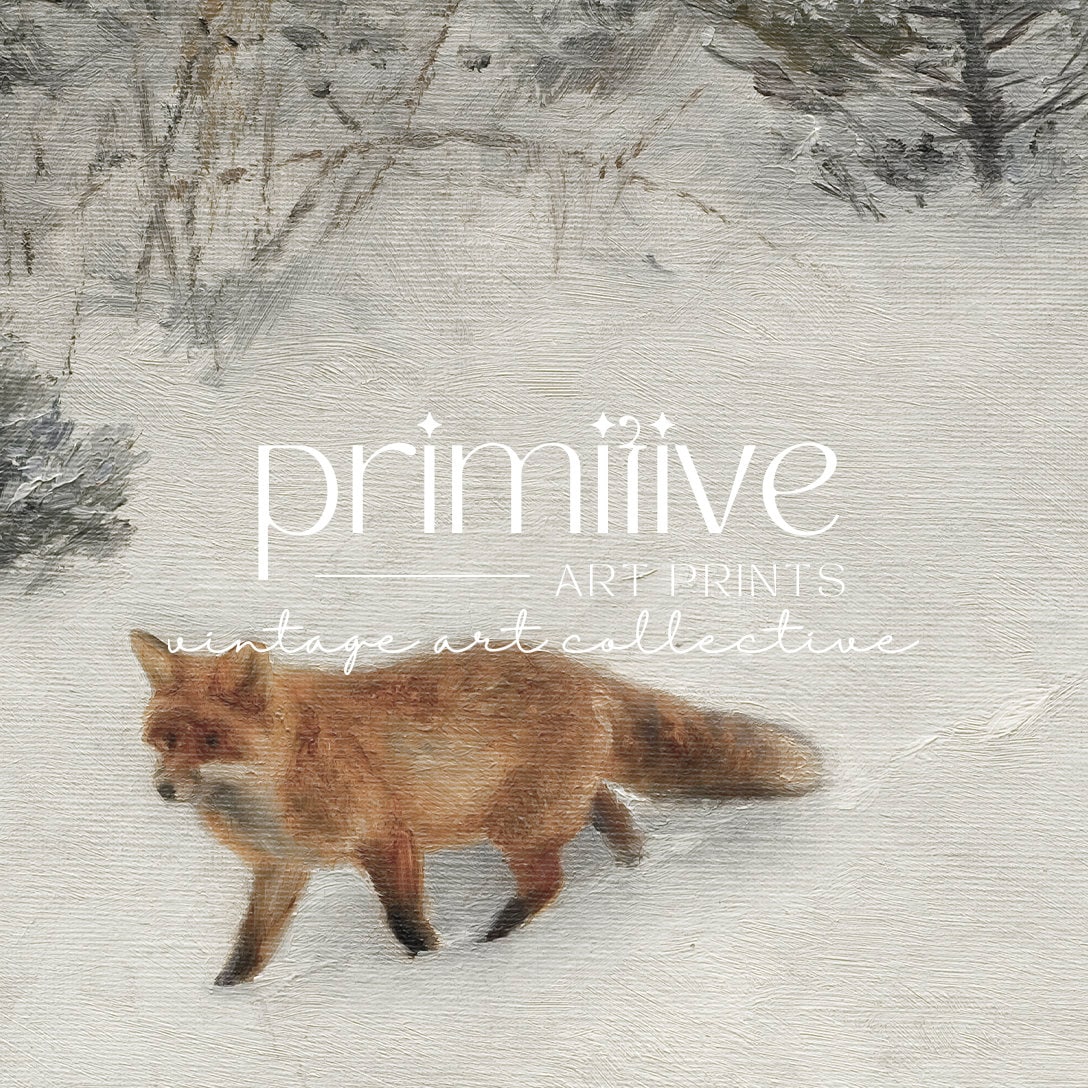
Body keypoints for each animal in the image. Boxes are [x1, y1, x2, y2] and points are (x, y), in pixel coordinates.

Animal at [131, 630, 824, 986]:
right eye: (164, 739)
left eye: (210, 741)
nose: (164, 789)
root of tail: (581, 671)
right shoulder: (281, 867)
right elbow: (250, 947)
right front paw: (225, 998)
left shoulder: (388, 837)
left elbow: (406, 922)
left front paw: (433, 970)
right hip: (545, 805)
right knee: (609, 808)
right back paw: (633, 867)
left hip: (518, 823)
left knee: (549, 880)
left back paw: (497, 938)